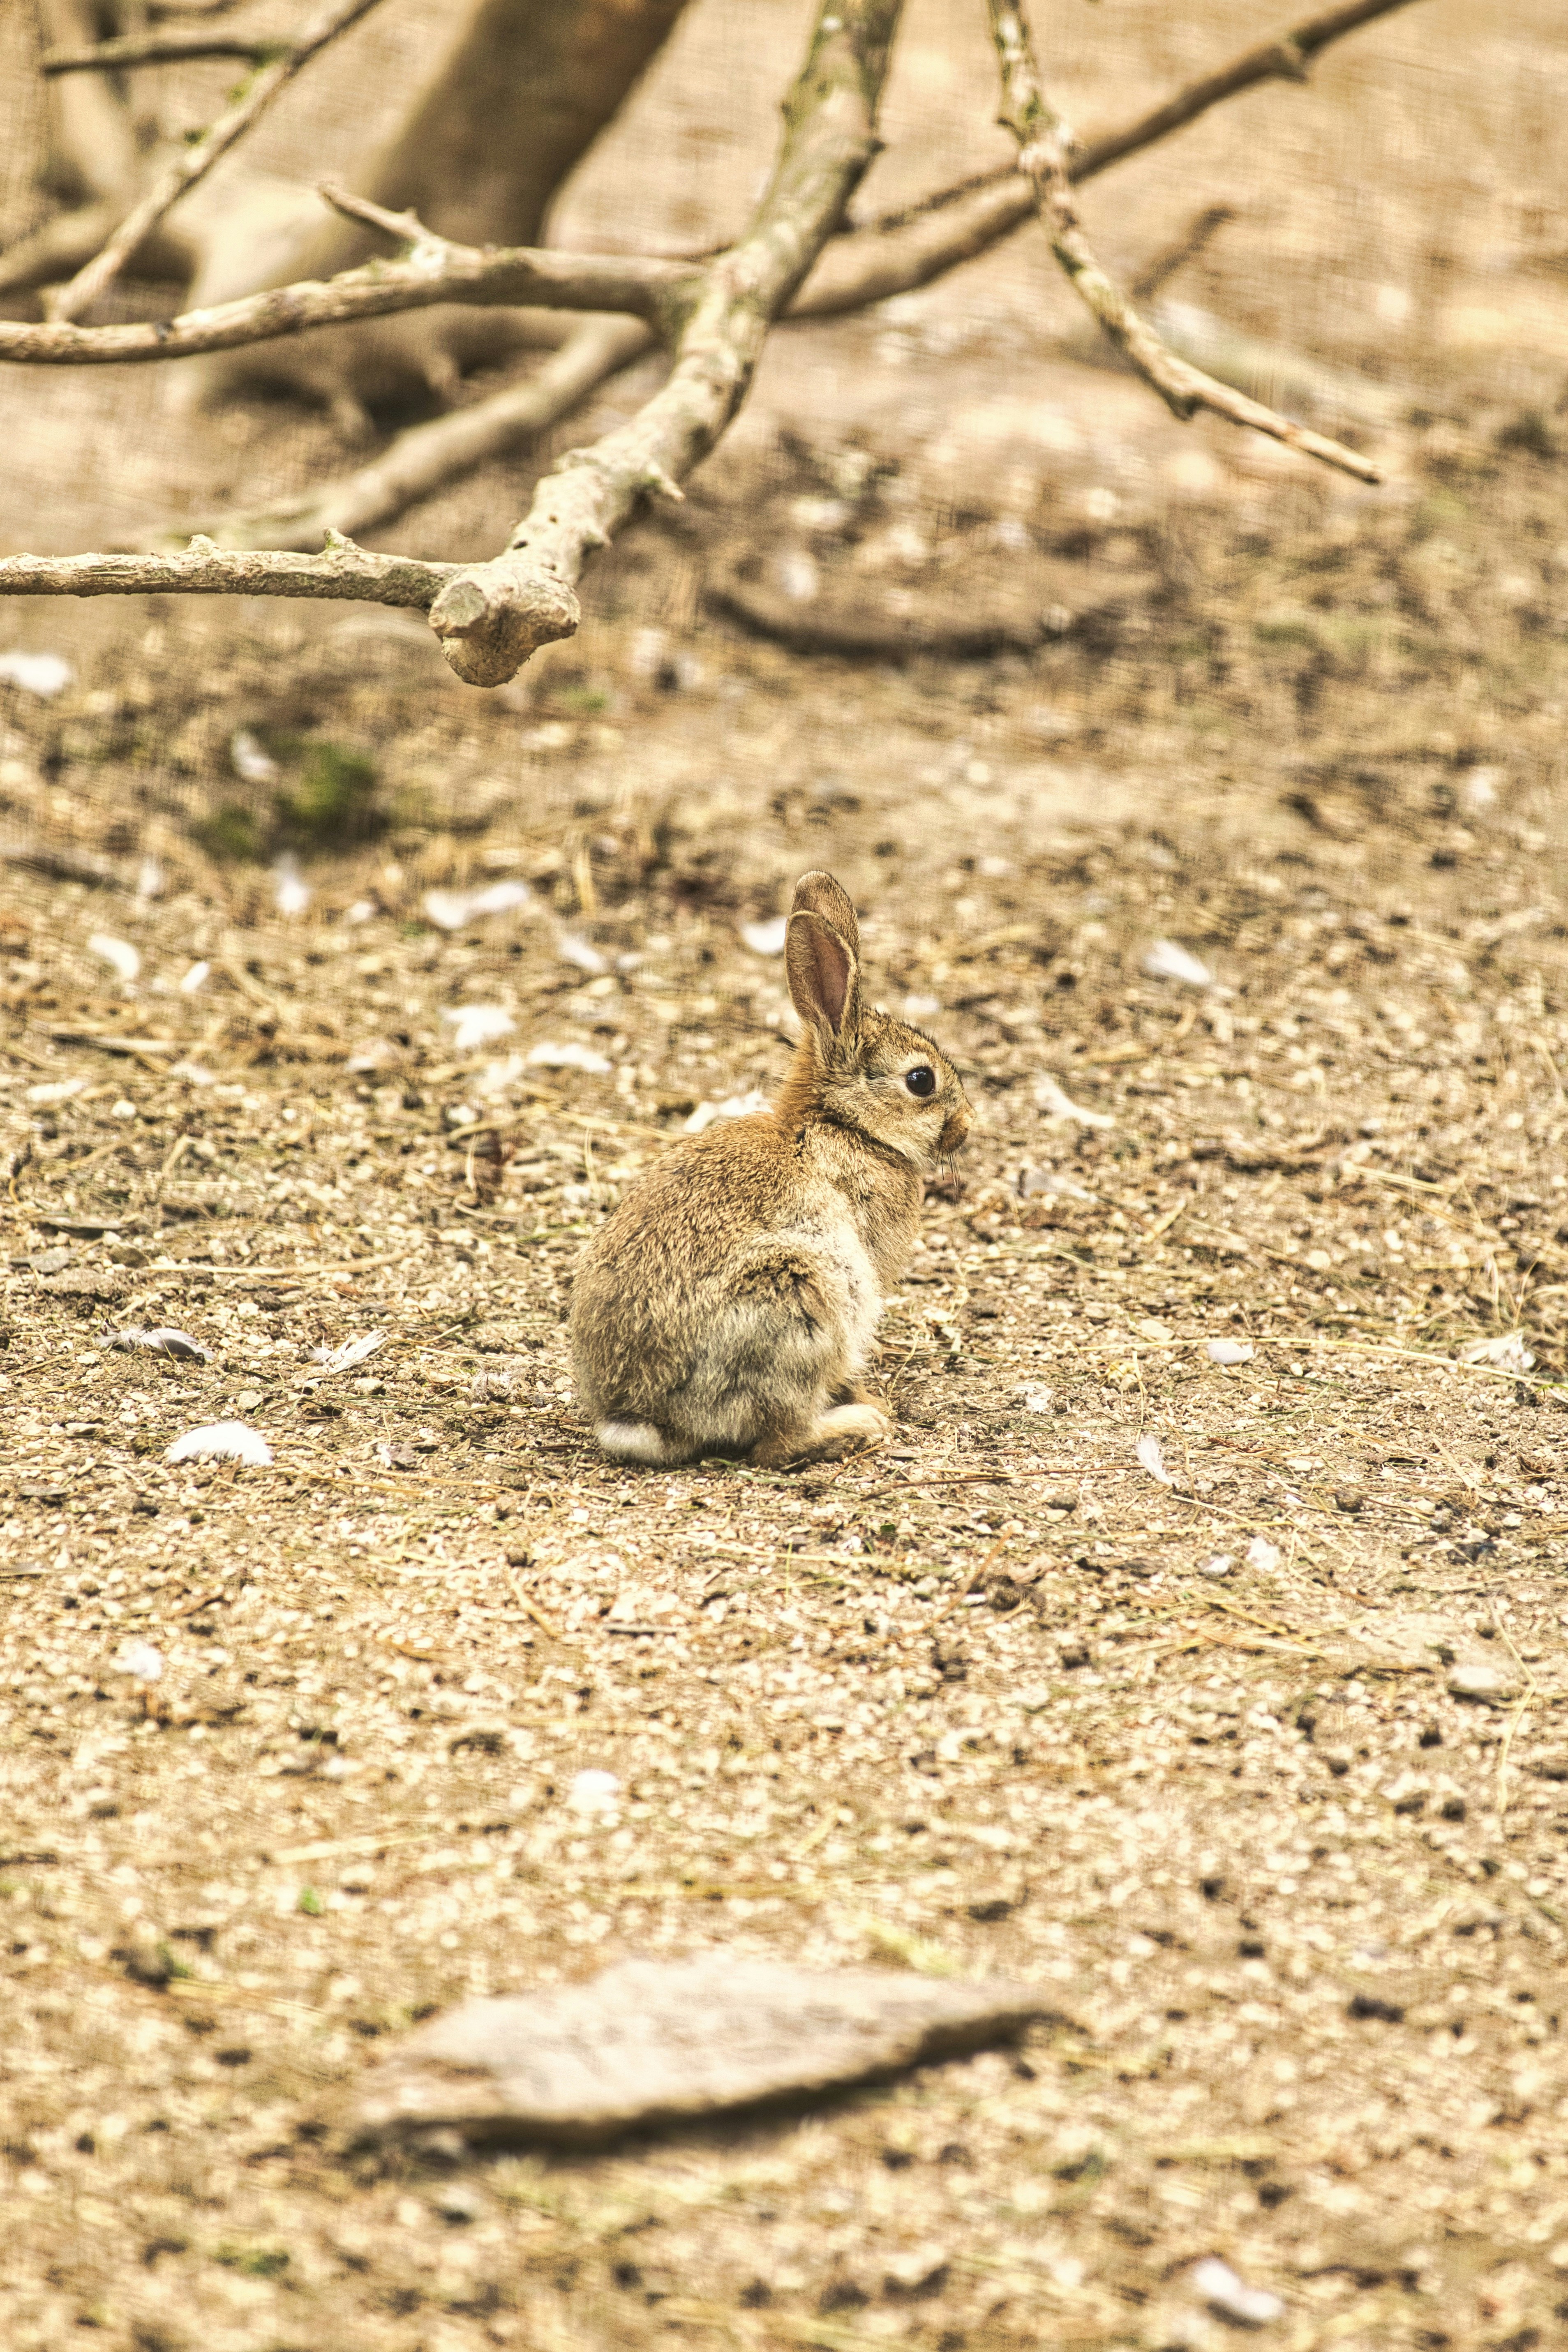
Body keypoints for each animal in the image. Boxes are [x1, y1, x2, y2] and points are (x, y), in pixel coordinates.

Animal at [569, 869, 973, 1467]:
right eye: (920, 1080)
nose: (967, 1124)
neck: (842, 1124)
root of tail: (642, 1421)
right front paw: (866, 1398)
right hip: (795, 1301)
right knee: (777, 1441)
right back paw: (859, 1424)